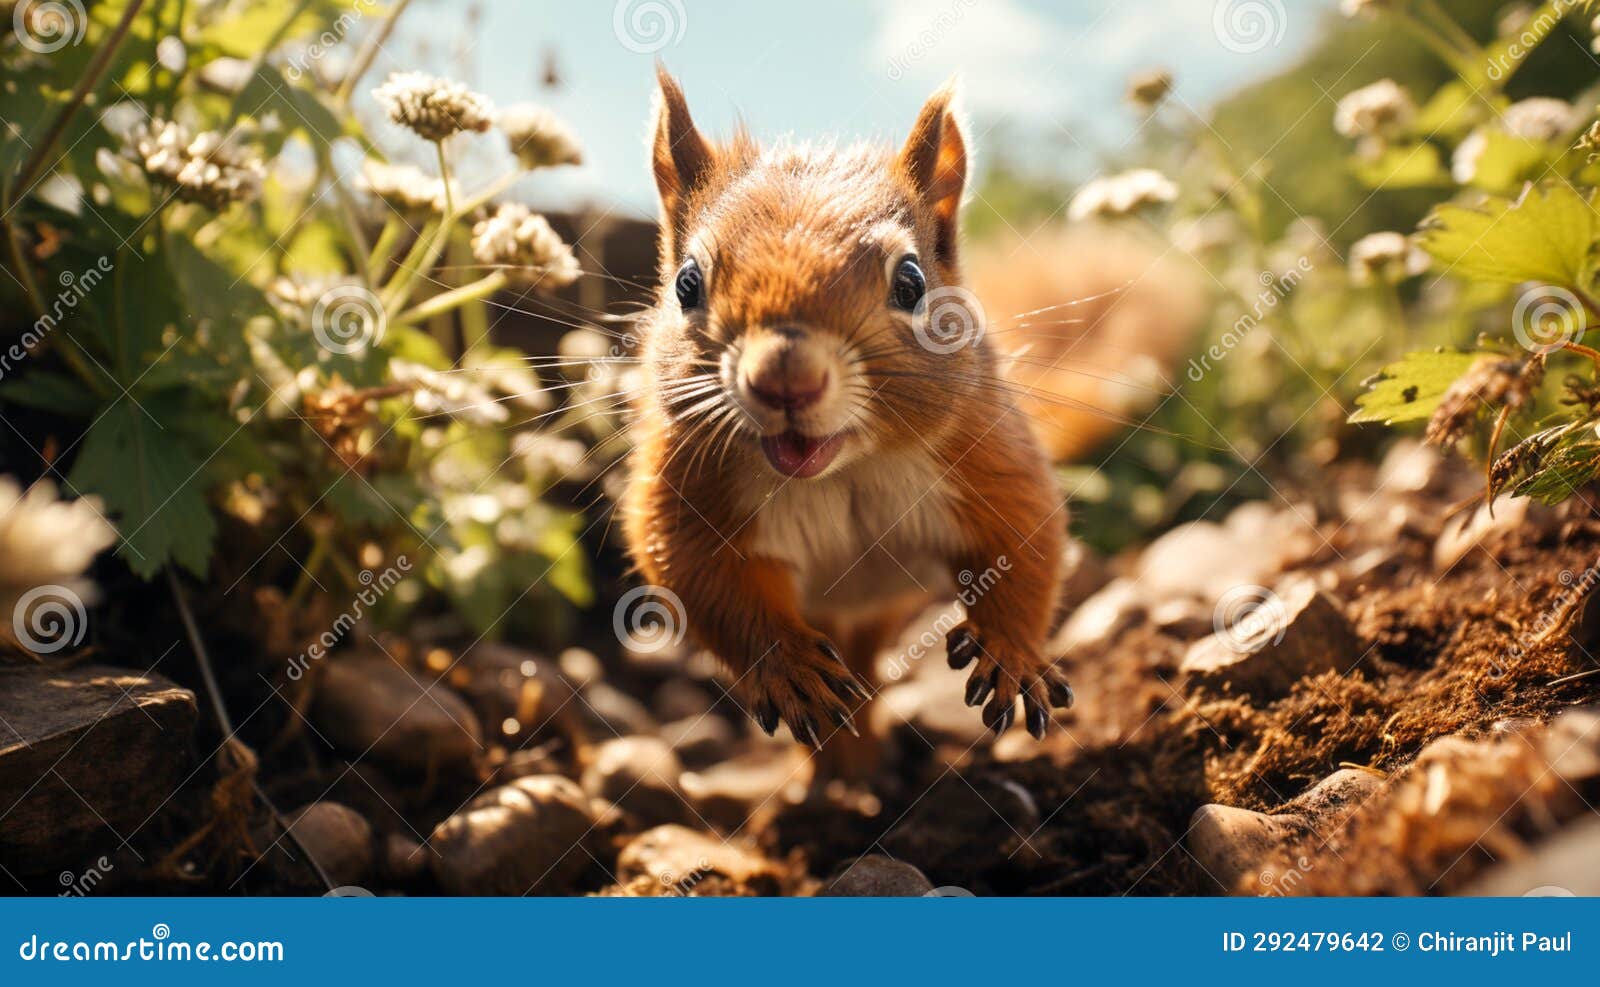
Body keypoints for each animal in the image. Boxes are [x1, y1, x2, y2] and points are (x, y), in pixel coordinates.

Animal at [622, 68, 1164, 769]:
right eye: (686, 283)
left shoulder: (986, 455)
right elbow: (703, 580)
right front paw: (787, 666)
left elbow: (1026, 542)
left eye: (911, 282)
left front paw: (1012, 655)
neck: (839, 471)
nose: (785, 378)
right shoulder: (687, 490)